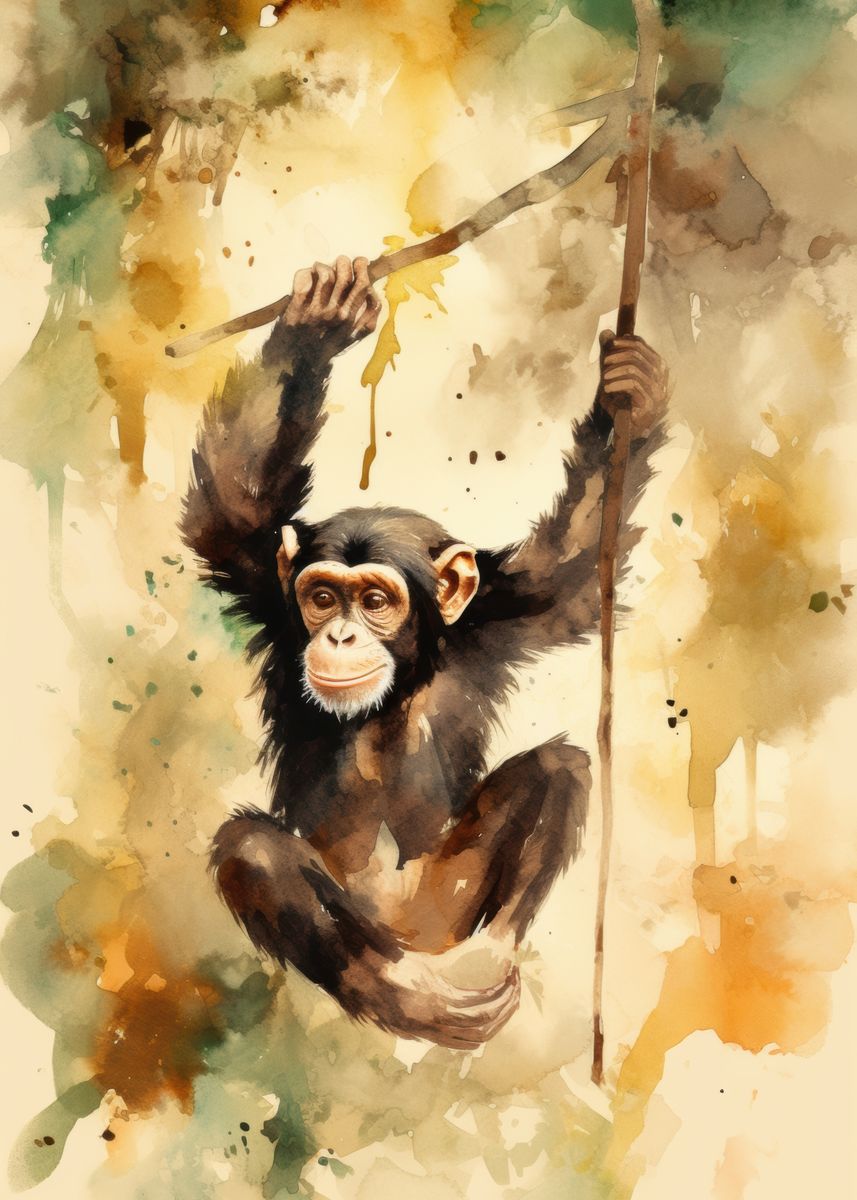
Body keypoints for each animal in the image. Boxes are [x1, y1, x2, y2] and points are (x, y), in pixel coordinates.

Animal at [182, 255, 667, 1049]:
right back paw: (402, 994)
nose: (340, 635)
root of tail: (416, 942)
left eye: (375, 602)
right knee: (252, 851)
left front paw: (633, 388)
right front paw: (316, 324)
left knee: (559, 768)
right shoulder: (267, 589)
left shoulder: (498, 612)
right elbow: (232, 502)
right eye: (323, 597)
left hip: (448, 897)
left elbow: (571, 566)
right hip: (375, 925)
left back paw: (487, 959)